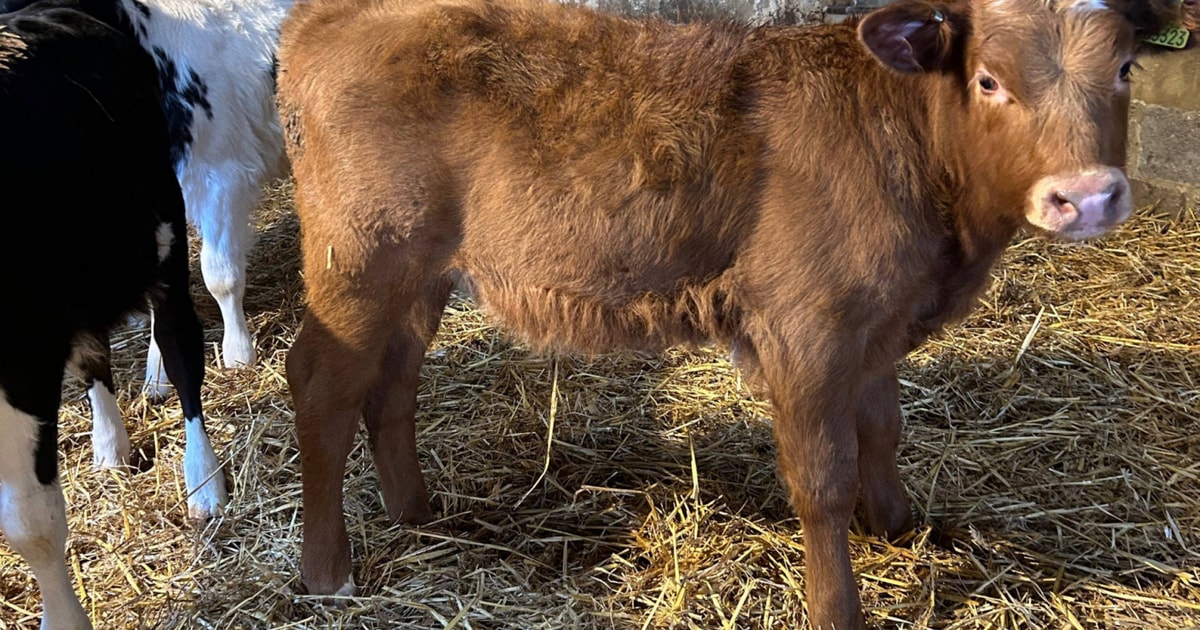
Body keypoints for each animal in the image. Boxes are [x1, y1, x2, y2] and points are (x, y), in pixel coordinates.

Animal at [0, 0, 223, 627]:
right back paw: (109, 446)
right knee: (93, 355)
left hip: (162, 235)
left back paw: (204, 484)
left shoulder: (22, 356)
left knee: (180, 349)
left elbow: (31, 521)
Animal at [275, 0, 1174, 627]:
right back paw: (327, 571)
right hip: (361, 260)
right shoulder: (808, 328)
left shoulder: (876, 324)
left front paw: (899, 528)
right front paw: (837, 607)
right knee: (320, 384)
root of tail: (328, 18)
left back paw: (417, 512)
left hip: (419, 276)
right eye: (989, 79)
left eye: (1127, 67)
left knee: (393, 385)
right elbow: (823, 478)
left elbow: (882, 429)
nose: (1087, 196)